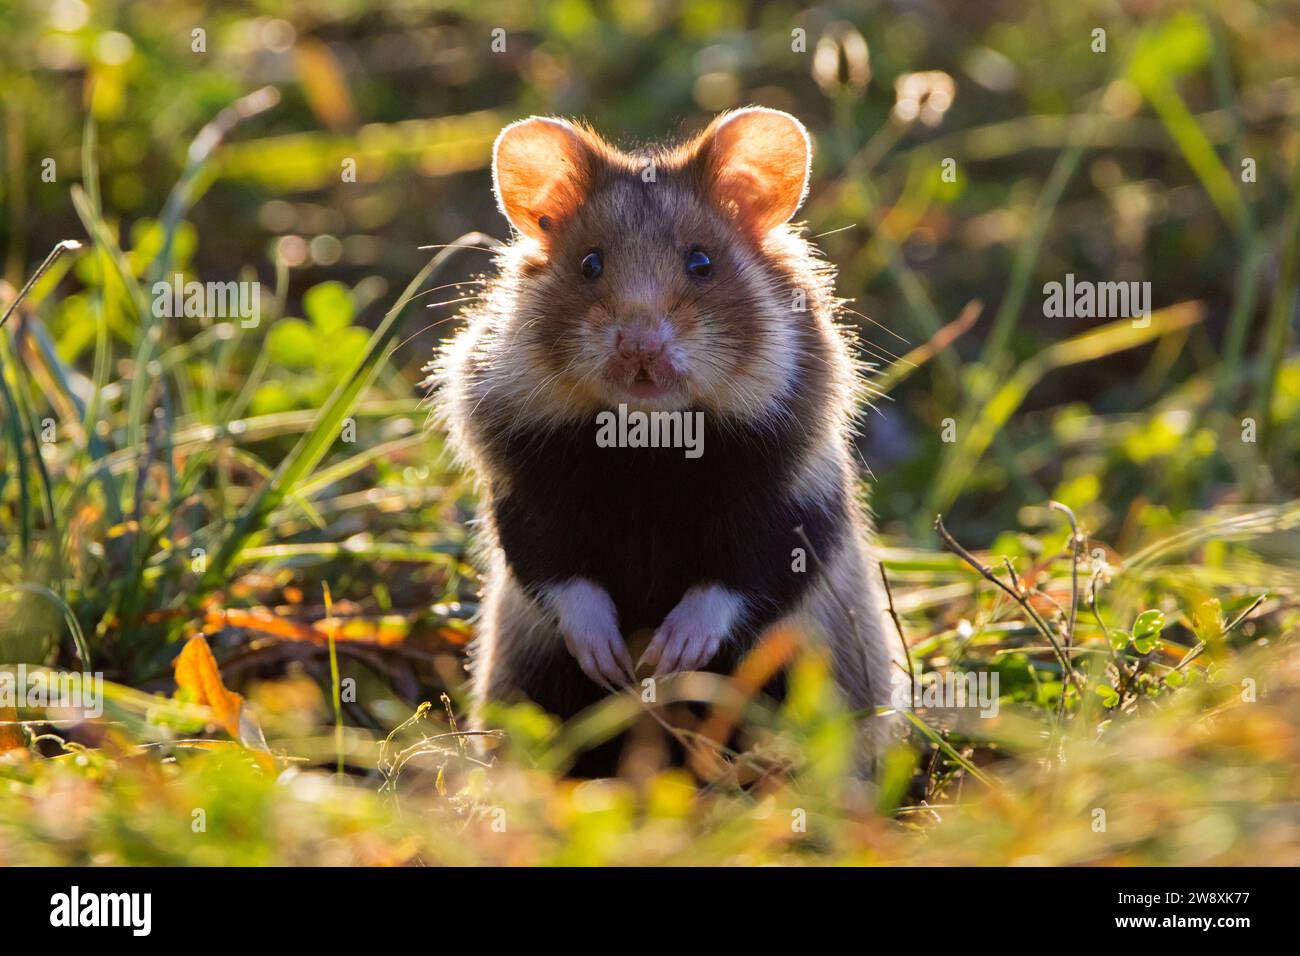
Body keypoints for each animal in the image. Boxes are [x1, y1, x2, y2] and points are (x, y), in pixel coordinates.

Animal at [431, 108, 903, 776]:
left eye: (701, 263)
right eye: (590, 264)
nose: (640, 347)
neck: (650, 440)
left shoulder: (794, 504)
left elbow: (738, 577)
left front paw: (669, 658)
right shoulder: (523, 497)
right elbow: (559, 574)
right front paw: (615, 664)